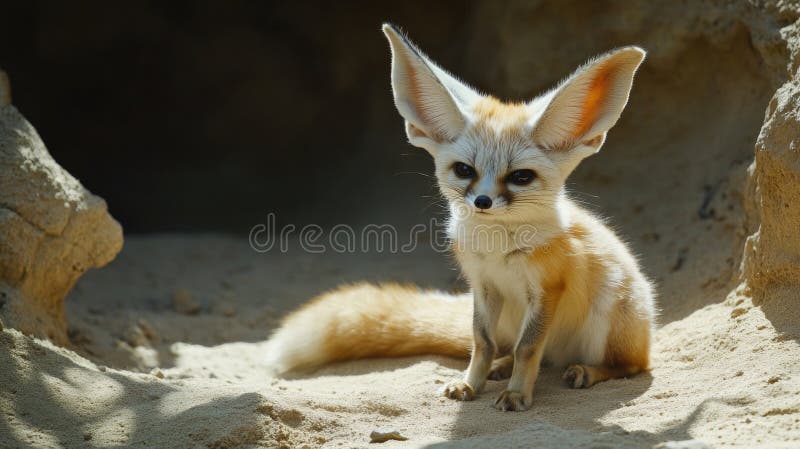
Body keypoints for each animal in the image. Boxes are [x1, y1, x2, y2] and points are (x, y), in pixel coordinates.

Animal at [264, 24, 656, 412]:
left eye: (521, 177)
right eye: (464, 170)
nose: (482, 201)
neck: (496, 248)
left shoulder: (545, 290)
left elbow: (528, 348)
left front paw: (517, 394)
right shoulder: (483, 285)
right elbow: (482, 342)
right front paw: (471, 383)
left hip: (608, 317)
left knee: (632, 365)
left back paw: (588, 371)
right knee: (530, 355)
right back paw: (502, 366)